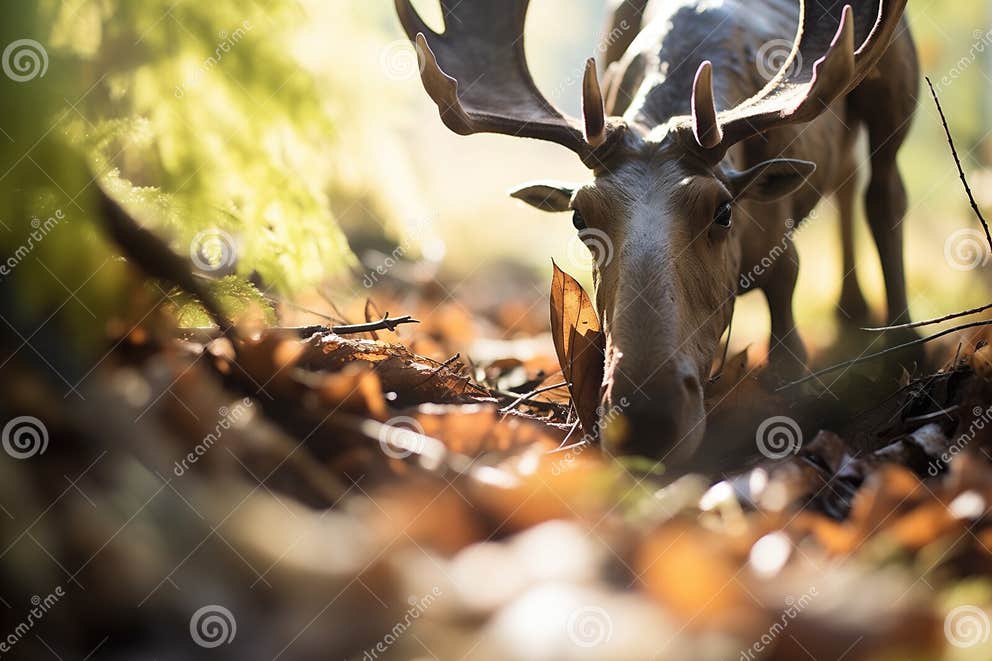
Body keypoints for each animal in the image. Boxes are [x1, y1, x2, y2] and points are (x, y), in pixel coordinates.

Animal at [394, 0, 919, 462]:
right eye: (579, 217)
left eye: (723, 211)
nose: (647, 419)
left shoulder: (778, 245)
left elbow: (789, 337)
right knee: (849, 174)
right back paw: (855, 309)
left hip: (895, 82)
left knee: (882, 192)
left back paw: (903, 346)